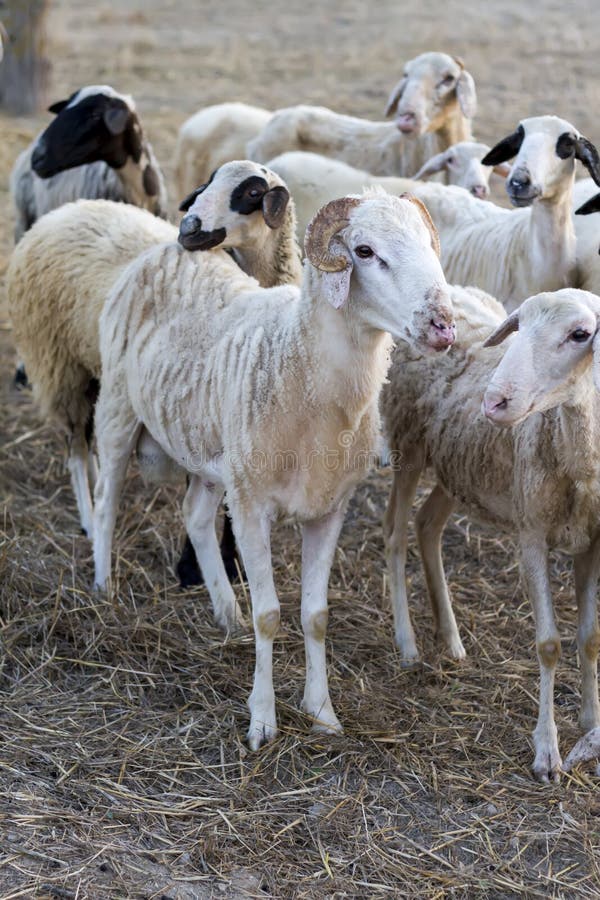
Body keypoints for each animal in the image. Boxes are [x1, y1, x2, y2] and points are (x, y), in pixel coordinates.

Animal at [7, 160, 301, 560]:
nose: (189, 227)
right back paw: (88, 519)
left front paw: (229, 559)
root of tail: (62, 212)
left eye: (253, 193)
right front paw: (194, 562)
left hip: (96, 366)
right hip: (60, 364)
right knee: (76, 446)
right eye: (208, 181)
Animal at [91, 190, 456, 749]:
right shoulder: (252, 506)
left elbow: (316, 616)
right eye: (365, 251)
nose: (443, 324)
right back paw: (103, 587)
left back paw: (226, 613)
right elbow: (269, 615)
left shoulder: (329, 509)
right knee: (107, 498)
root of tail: (166, 250)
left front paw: (322, 712)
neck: (300, 364)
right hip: (116, 403)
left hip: (213, 453)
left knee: (195, 515)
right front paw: (262, 721)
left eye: (428, 243)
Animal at [382, 287, 600, 782]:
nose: (495, 401)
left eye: (581, 334)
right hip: (407, 444)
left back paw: (452, 639)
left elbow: (590, 638)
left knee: (427, 526)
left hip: (456, 468)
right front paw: (547, 752)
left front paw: (591, 727)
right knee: (395, 536)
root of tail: (451, 290)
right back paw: (408, 644)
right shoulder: (531, 534)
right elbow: (548, 644)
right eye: (519, 324)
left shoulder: (593, 543)